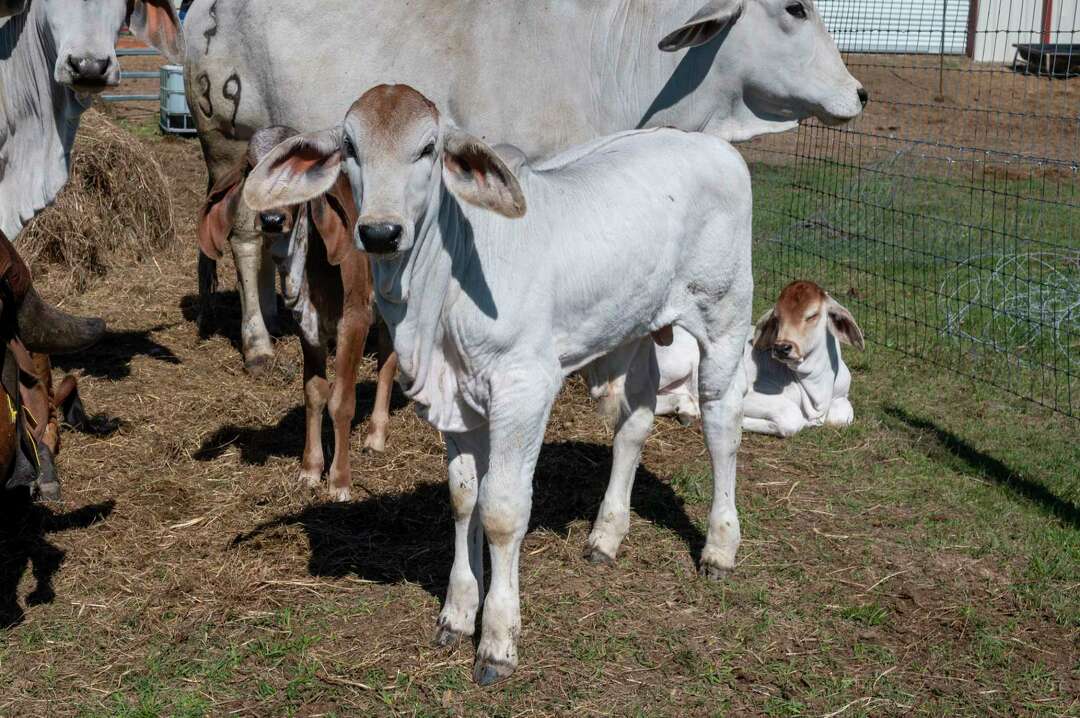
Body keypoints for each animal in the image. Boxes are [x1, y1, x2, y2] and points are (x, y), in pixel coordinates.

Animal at [198, 126, 399, 500]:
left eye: (303, 173)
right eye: (250, 169)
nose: (272, 219)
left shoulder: (354, 320)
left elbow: (342, 400)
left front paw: (339, 481)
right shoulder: (309, 328)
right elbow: (315, 394)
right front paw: (310, 470)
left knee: (391, 361)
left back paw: (378, 436)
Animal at [243, 84, 755, 684]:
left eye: (428, 148)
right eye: (350, 146)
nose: (380, 232)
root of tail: (708, 144)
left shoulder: (524, 389)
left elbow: (502, 510)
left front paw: (496, 640)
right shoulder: (456, 401)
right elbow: (464, 498)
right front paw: (458, 612)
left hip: (724, 314)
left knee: (722, 421)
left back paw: (719, 547)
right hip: (633, 326)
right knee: (635, 419)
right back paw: (606, 535)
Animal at [742, 280, 864, 437]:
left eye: (812, 315)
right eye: (776, 318)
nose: (781, 348)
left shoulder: (842, 395)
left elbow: (841, 416)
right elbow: (792, 417)